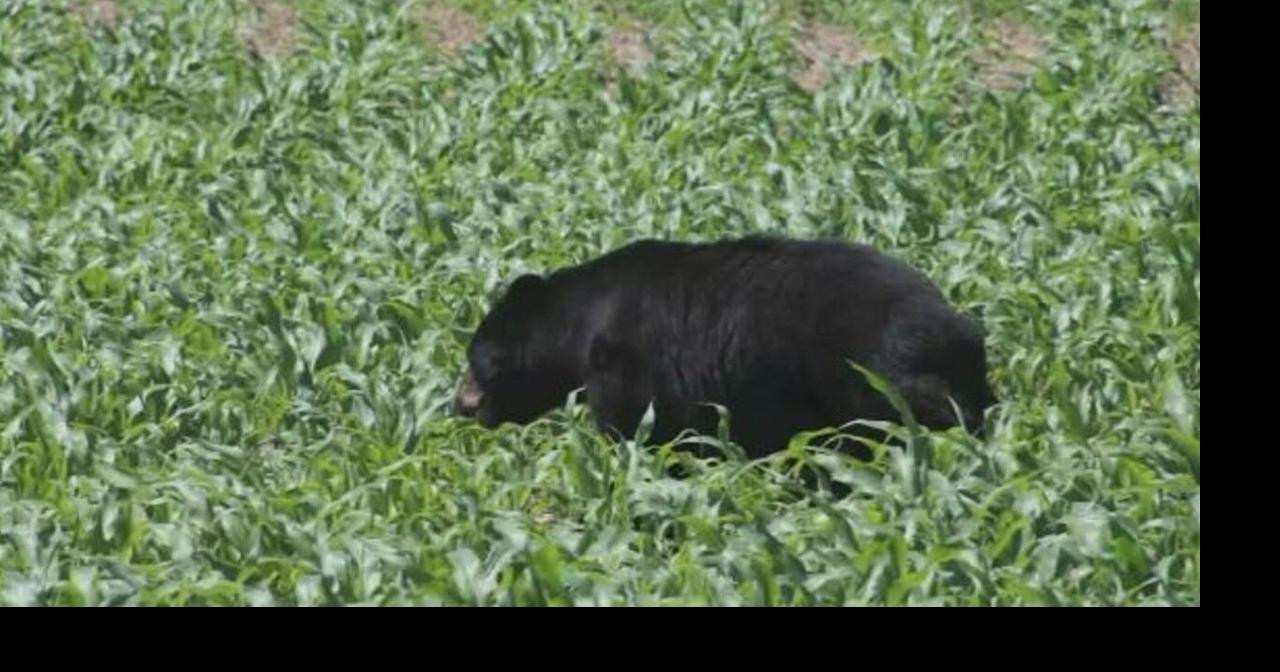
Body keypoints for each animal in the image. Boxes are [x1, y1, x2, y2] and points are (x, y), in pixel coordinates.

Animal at [454, 236, 997, 460]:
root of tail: (961, 331)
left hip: (874, 381)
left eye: (475, 361)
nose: (459, 404)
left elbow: (636, 426)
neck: (583, 324)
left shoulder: (630, 365)